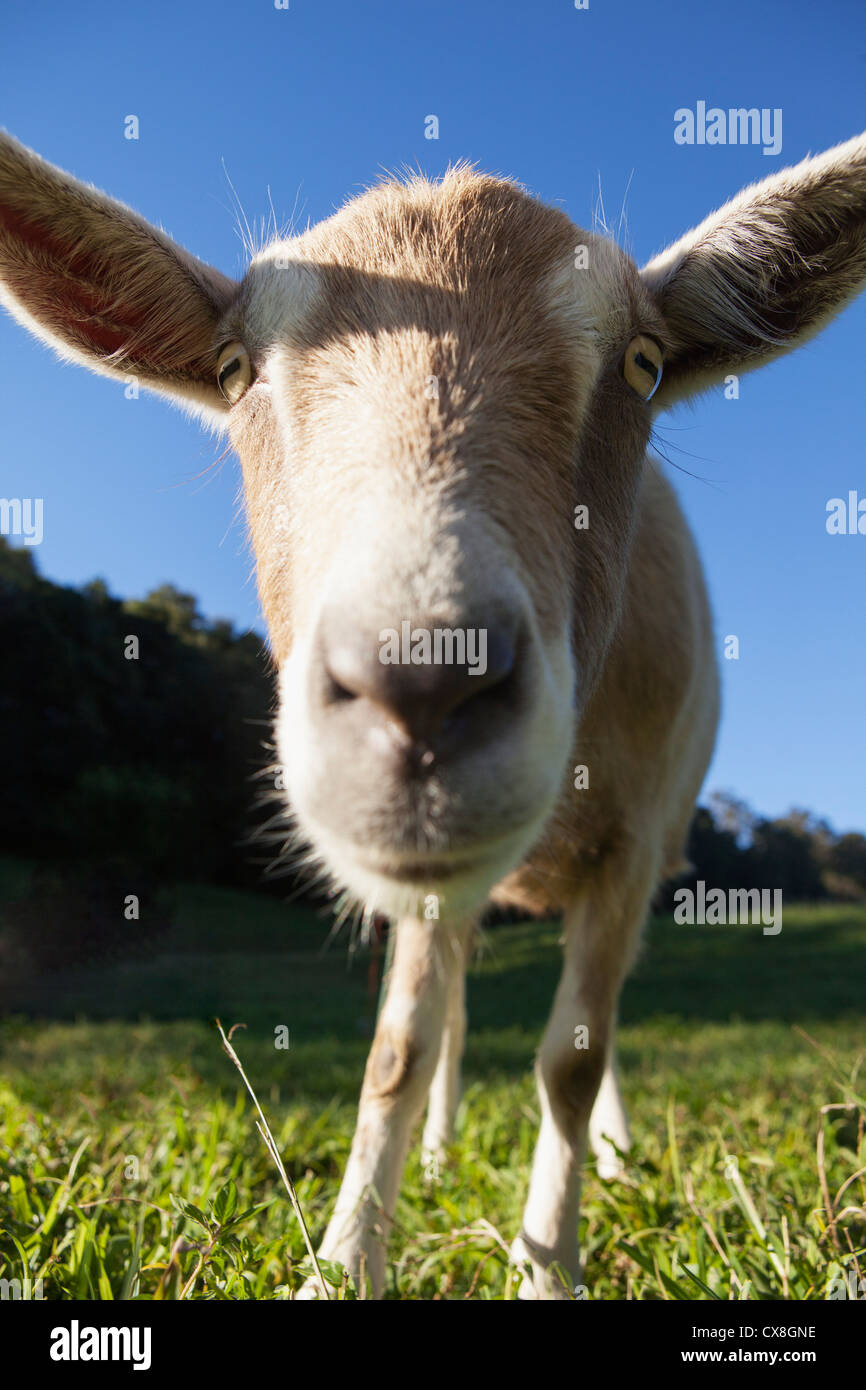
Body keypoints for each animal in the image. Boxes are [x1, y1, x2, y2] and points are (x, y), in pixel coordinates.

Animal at [1, 130, 864, 1299]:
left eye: (642, 364)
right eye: (233, 370)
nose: (422, 676)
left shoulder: (635, 839)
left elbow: (573, 1057)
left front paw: (548, 1266)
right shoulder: (425, 879)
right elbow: (398, 1047)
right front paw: (341, 1262)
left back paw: (613, 1150)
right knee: (450, 1009)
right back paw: (448, 1147)